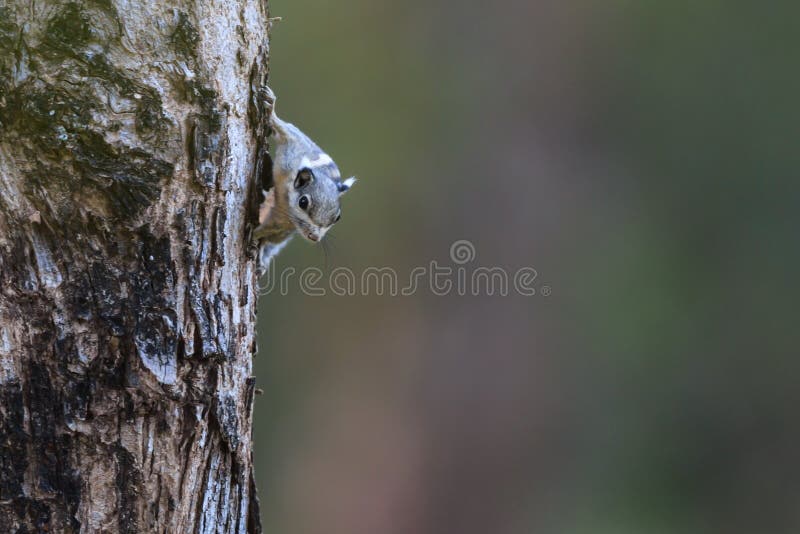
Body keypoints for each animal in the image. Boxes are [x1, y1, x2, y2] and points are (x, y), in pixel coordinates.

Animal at [254, 87, 355, 273]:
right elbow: (283, 128)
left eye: (337, 217)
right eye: (303, 202)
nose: (314, 237)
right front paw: (271, 109)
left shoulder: (284, 223)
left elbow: (269, 232)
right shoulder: (293, 145)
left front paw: (256, 235)